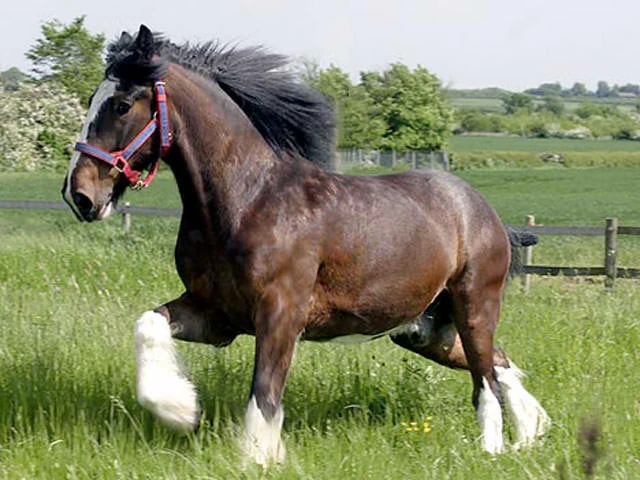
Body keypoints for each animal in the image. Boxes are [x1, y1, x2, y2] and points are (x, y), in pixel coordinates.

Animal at [62, 25, 549, 465]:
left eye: (122, 104)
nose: (79, 196)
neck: (248, 200)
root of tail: (483, 211)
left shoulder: (281, 313)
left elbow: (264, 392)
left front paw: (257, 458)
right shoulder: (216, 314)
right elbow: (148, 325)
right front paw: (181, 410)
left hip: (474, 305)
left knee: (485, 379)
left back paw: (494, 448)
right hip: (424, 329)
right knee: (499, 363)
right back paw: (532, 432)